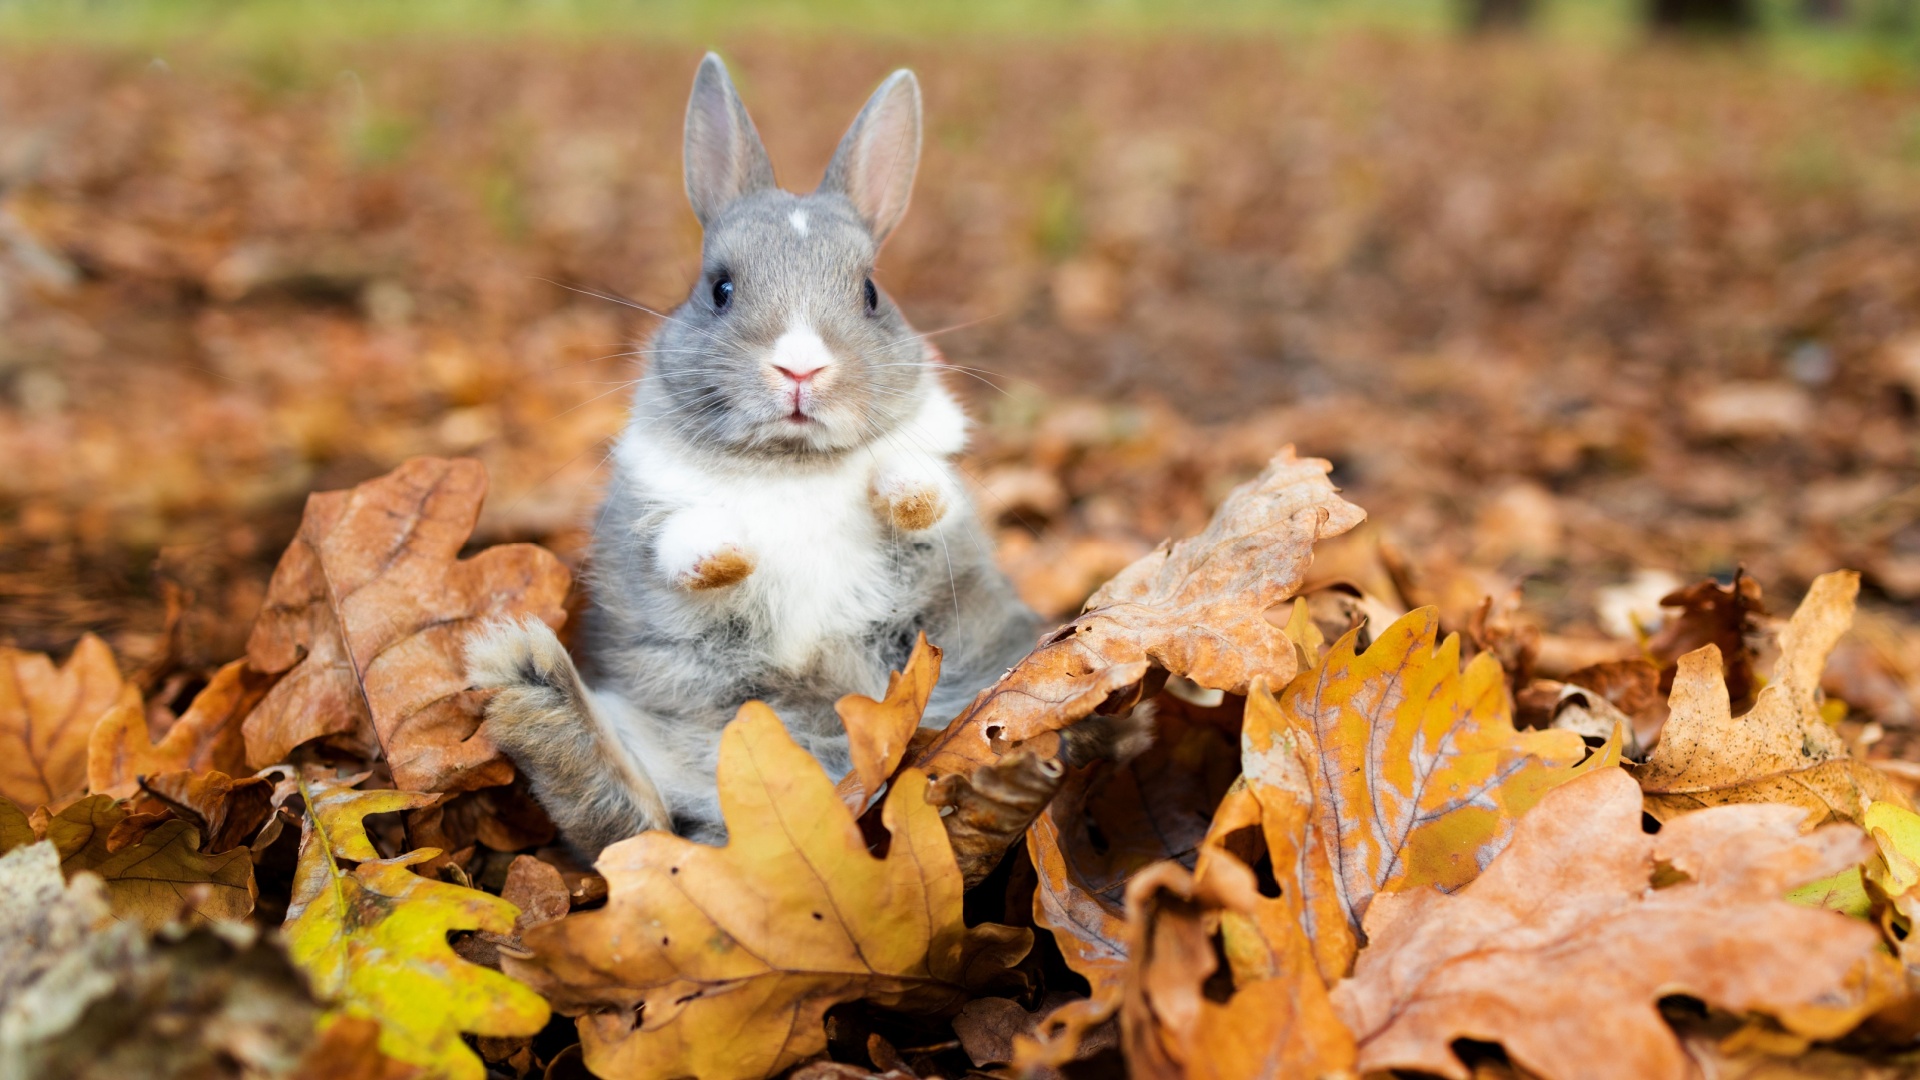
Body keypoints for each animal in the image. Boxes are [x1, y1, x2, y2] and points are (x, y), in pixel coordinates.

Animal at [465, 53, 1050, 857]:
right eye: (720, 288)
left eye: (871, 292)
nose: (800, 367)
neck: (790, 462)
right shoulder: (653, 515)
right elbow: (684, 541)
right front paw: (729, 560)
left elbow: (926, 494)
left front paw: (899, 493)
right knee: (630, 820)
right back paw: (524, 673)